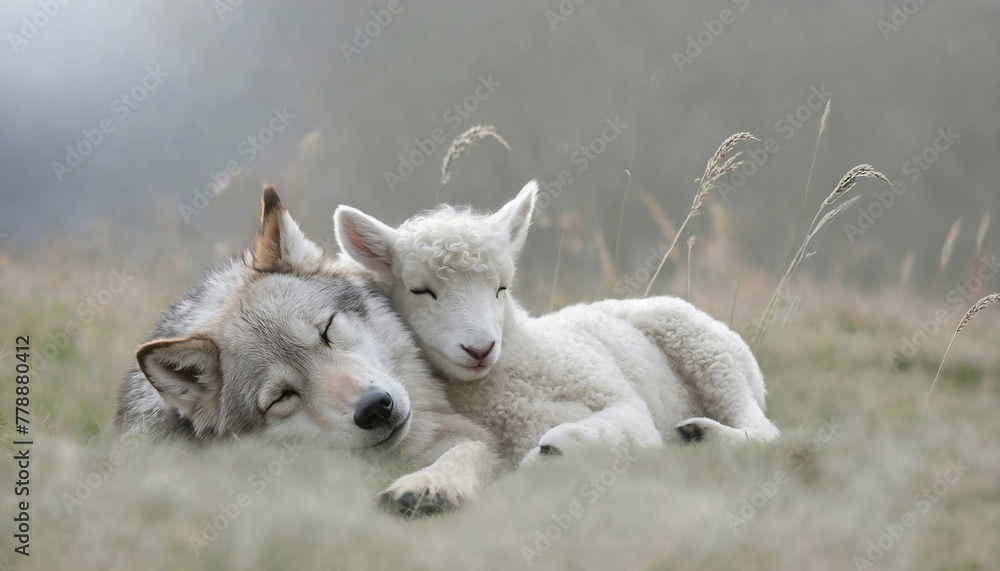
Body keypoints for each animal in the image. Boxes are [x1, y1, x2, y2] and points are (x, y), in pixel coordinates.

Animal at [334, 180, 779, 467]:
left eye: (502, 287)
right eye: (420, 291)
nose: (480, 349)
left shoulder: (619, 399)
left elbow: (618, 429)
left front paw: (554, 448)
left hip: (704, 349)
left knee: (761, 427)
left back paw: (704, 433)